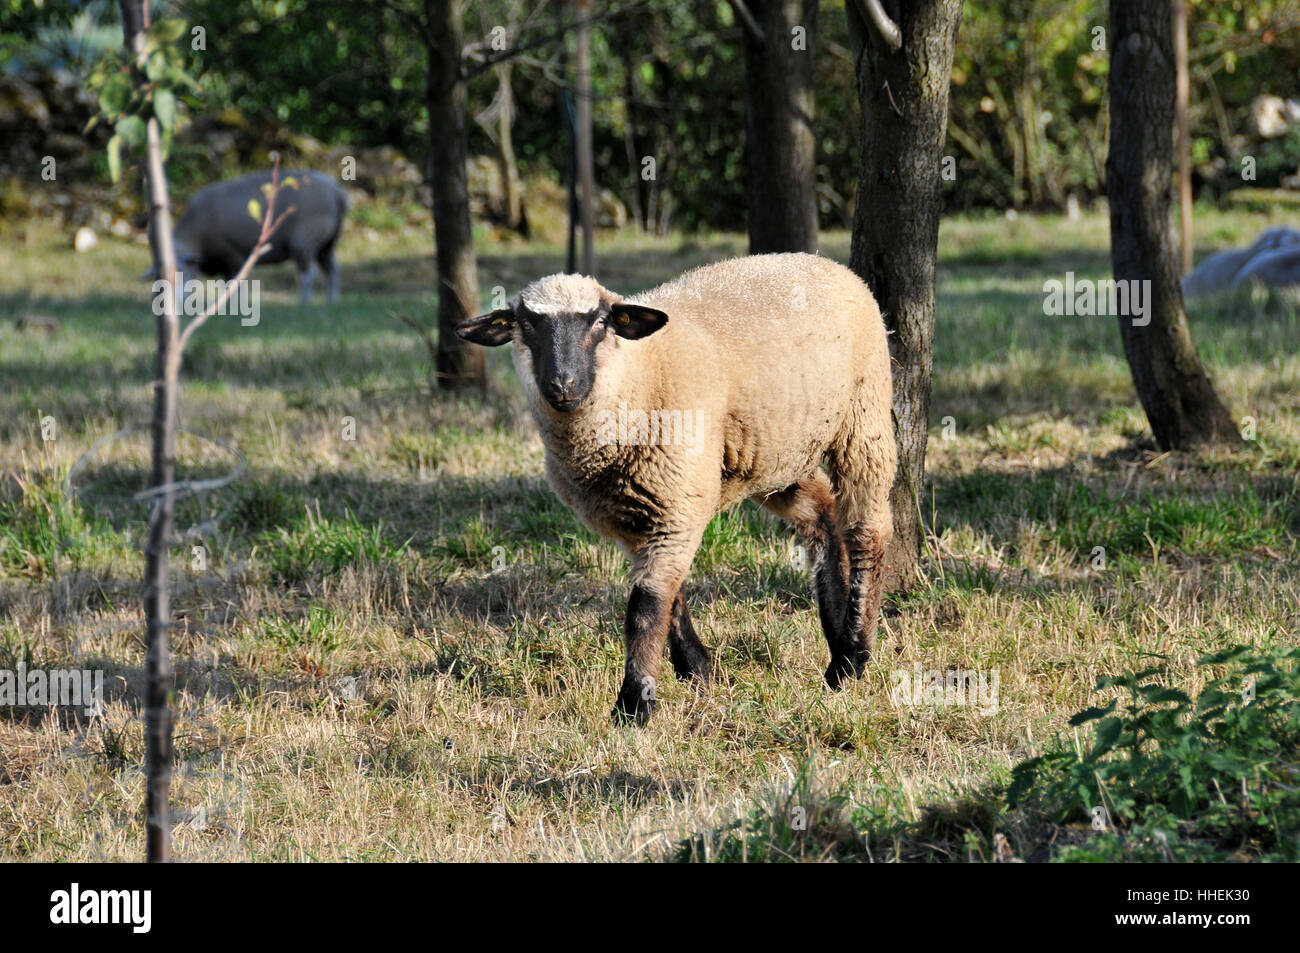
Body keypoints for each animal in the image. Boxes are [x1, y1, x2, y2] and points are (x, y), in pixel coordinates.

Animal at [457, 253, 896, 724]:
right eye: (526, 324)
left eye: (600, 322)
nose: (562, 385)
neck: (640, 374)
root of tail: (825, 263)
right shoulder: (638, 514)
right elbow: (671, 595)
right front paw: (698, 671)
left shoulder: (676, 502)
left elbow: (645, 608)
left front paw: (633, 706)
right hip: (778, 451)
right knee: (823, 515)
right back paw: (835, 641)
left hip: (864, 418)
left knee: (869, 532)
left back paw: (852, 657)